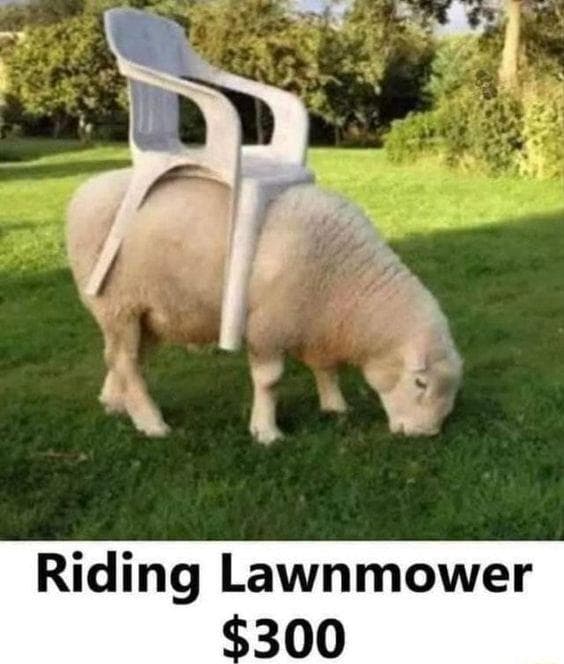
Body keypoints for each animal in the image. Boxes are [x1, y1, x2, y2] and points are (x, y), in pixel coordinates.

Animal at [66, 169, 462, 442]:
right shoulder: (267, 328)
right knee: (125, 361)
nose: (425, 435)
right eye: (421, 383)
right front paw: (266, 432)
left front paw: (335, 406)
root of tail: (82, 193)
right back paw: (151, 423)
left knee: (124, 358)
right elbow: (270, 381)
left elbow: (326, 368)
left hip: (146, 313)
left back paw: (115, 403)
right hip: (117, 306)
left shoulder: (315, 322)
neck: (346, 284)